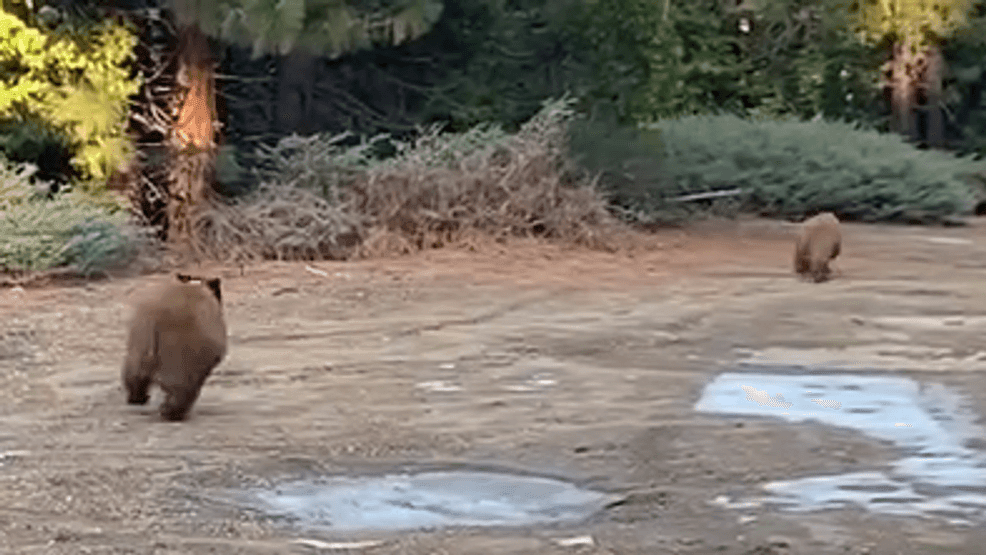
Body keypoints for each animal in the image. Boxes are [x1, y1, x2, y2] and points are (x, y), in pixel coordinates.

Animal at [122, 273, 227, 421]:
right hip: (179, 347)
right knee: (180, 384)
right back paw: (170, 411)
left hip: (140, 339)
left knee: (134, 371)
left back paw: (139, 399)